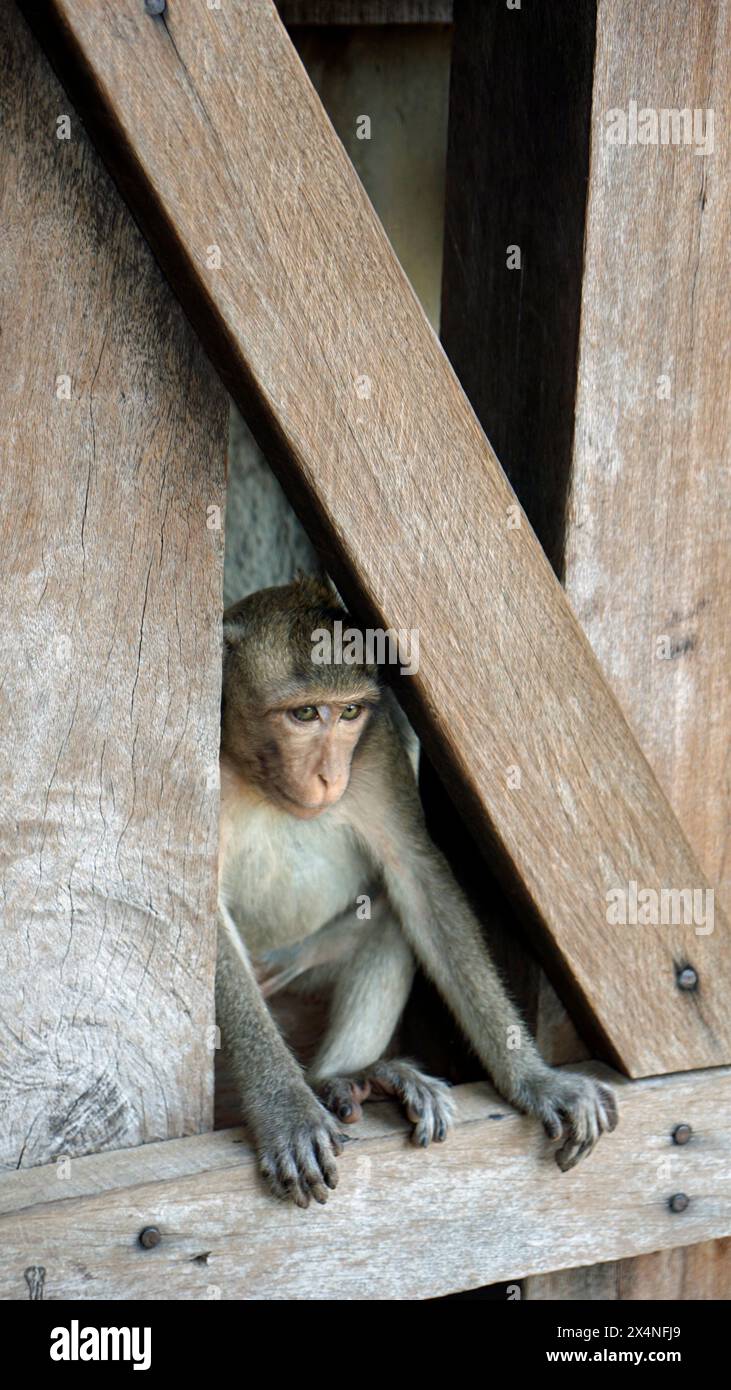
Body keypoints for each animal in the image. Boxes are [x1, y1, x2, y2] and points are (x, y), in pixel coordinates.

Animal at [217, 576, 618, 1208]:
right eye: (304, 714)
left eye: (349, 712)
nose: (331, 776)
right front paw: (285, 1112)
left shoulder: (377, 749)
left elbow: (420, 878)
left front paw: (534, 1079)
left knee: (389, 921)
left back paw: (346, 1077)